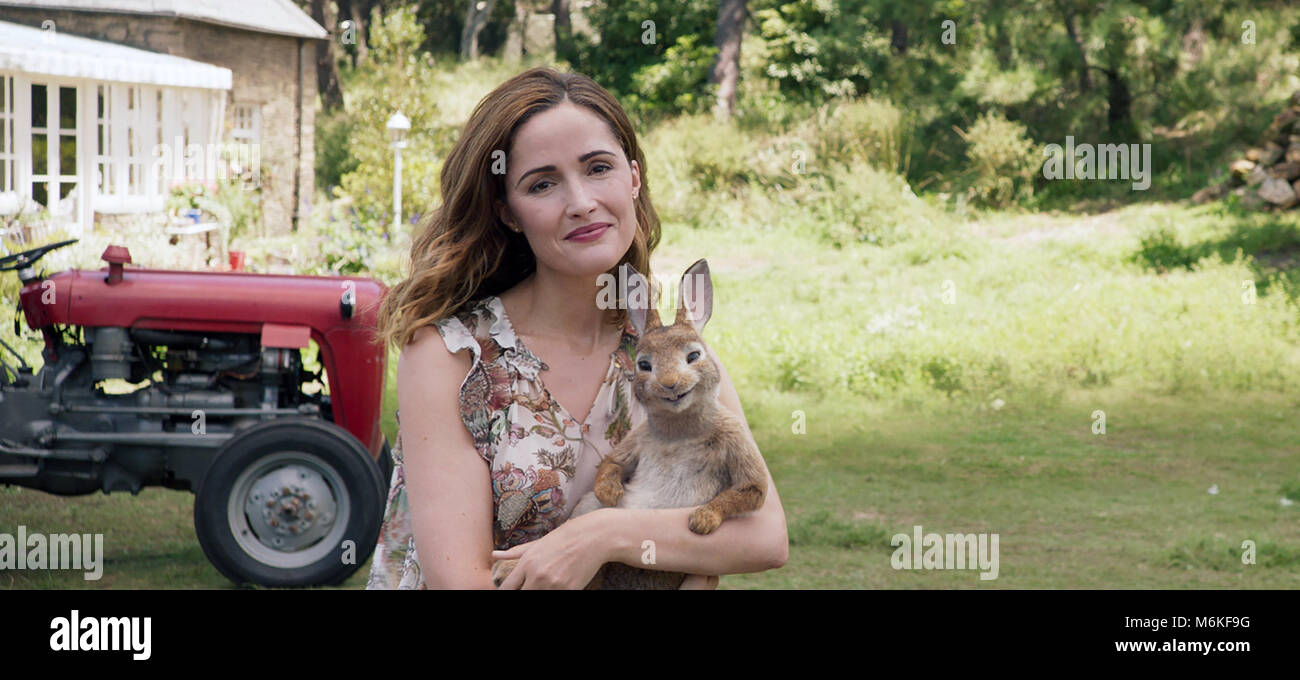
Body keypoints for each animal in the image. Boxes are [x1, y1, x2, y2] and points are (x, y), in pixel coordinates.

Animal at [492, 258, 768, 589]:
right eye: (644, 364)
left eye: (694, 355)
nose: (670, 384)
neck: (680, 427)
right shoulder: (635, 441)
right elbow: (612, 464)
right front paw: (611, 494)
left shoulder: (736, 445)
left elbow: (748, 491)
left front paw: (702, 520)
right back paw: (504, 569)